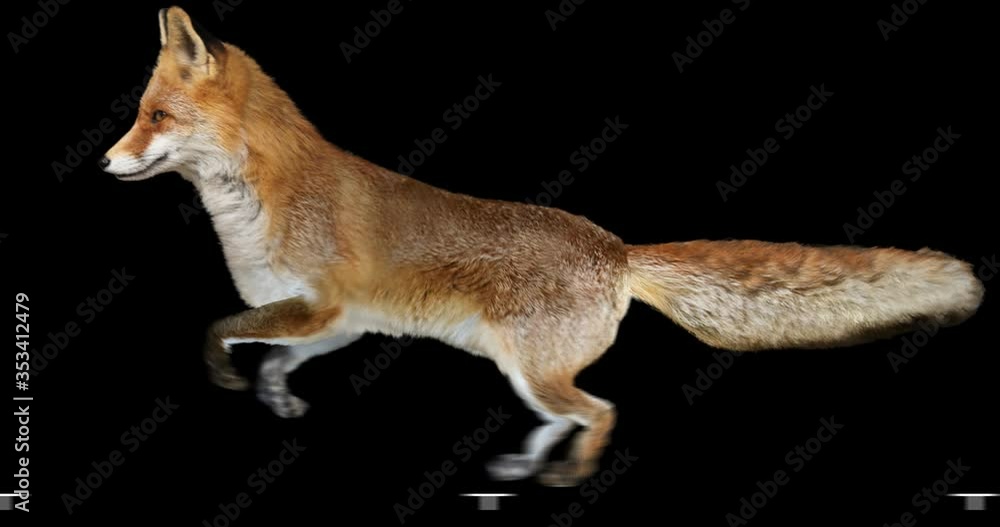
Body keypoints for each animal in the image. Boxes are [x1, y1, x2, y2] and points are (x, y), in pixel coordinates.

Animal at [100, 7, 984, 486]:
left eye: (155, 118)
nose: (104, 161)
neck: (261, 206)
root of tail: (621, 250)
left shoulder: (319, 307)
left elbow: (219, 329)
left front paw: (227, 375)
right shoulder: (338, 321)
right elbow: (277, 355)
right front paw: (277, 395)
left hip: (533, 368)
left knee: (602, 411)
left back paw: (563, 472)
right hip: (522, 369)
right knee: (569, 414)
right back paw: (527, 464)